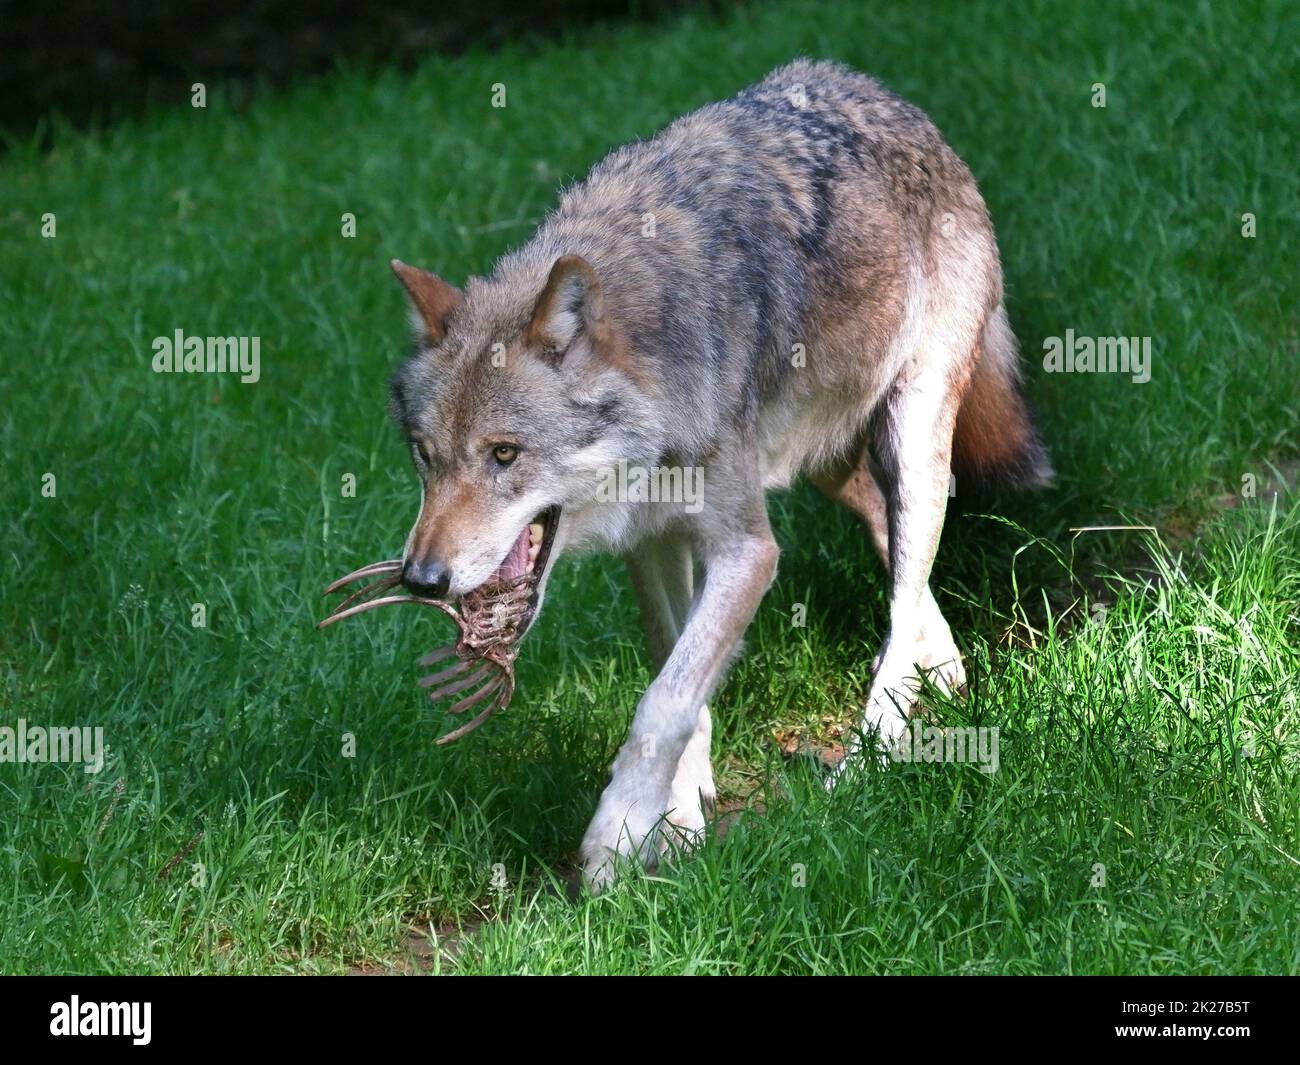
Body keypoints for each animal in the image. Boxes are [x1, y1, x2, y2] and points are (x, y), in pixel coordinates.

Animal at [384, 59, 1051, 890]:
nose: (421, 579)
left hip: (913, 435)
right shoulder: (651, 541)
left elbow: (664, 699)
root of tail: (881, 95)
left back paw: (870, 754)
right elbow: (676, 666)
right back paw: (945, 670)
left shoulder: (748, 550)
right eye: (424, 453)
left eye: (505, 454)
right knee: (897, 552)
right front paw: (676, 814)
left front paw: (613, 840)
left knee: (901, 596)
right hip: (828, 467)